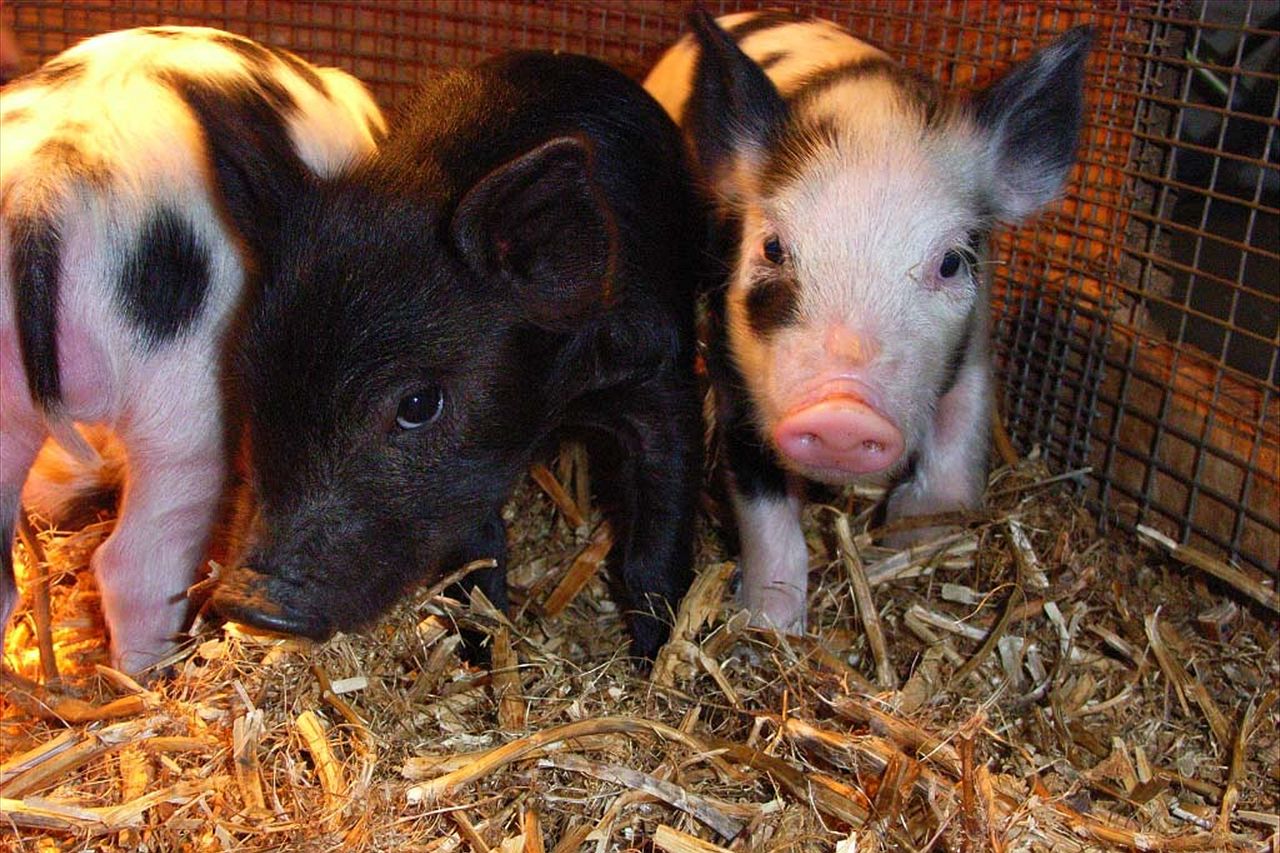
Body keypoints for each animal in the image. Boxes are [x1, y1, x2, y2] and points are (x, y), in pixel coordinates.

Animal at [197, 51, 704, 661]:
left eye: (417, 404)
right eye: (256, 384)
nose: (248, 603)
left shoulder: (658, 372)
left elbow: (657, 540)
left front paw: (653, 657)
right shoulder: (466, 476)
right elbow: (477, 549)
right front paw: (483, 650)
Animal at [644, 11, 1092, 632]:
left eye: (951, 262)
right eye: (774, 247)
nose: (843, 414)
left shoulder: (975, 342)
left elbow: (961, 443)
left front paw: (910, 540)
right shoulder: (734, 364)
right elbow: (762, 504)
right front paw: (767, 626)